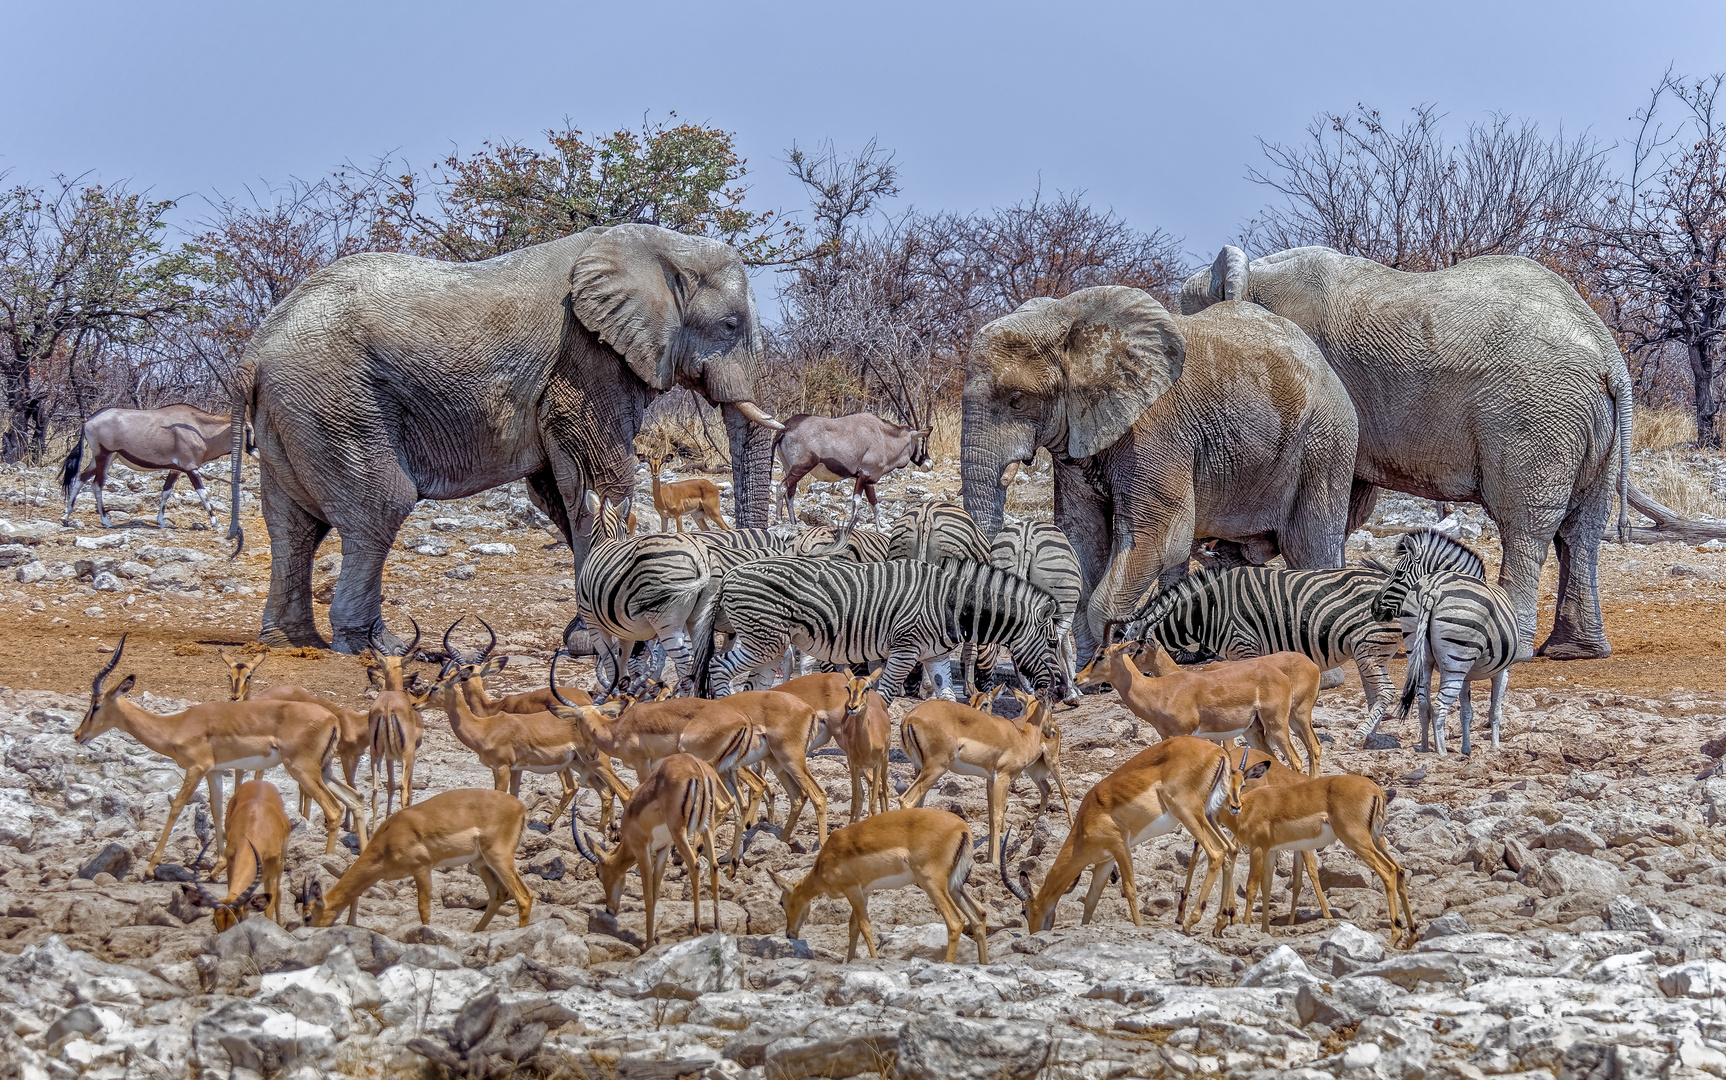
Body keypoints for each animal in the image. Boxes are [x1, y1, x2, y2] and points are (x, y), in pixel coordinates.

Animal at [227, 223, 782, 653]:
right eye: (730, 324)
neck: (659, 245)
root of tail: (254, 352)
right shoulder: (586, 356)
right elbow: (603, 482)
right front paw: (602, 641)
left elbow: (559, 494)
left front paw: (585, 638)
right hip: (336, 400)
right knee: (380, 507)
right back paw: (381, 648)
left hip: (293, 413)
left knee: (293, 525)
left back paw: (293, 642)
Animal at [960, 285, 1360, 649]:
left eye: (1017, 400)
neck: (1066, 320)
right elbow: (1083, 537)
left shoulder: (1156, 431)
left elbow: (1160, 538)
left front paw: (1112, 656)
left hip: (1325, 444)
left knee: (1309, 547)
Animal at [1180, 246, 1632, 660]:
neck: (1256, 272)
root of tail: (1610, 355)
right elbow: (1348, 507)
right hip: (1588, 423)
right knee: (1582, 529)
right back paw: (1575, 651)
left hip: (1536, 416)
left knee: (1526, 525)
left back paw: (1516, 649)